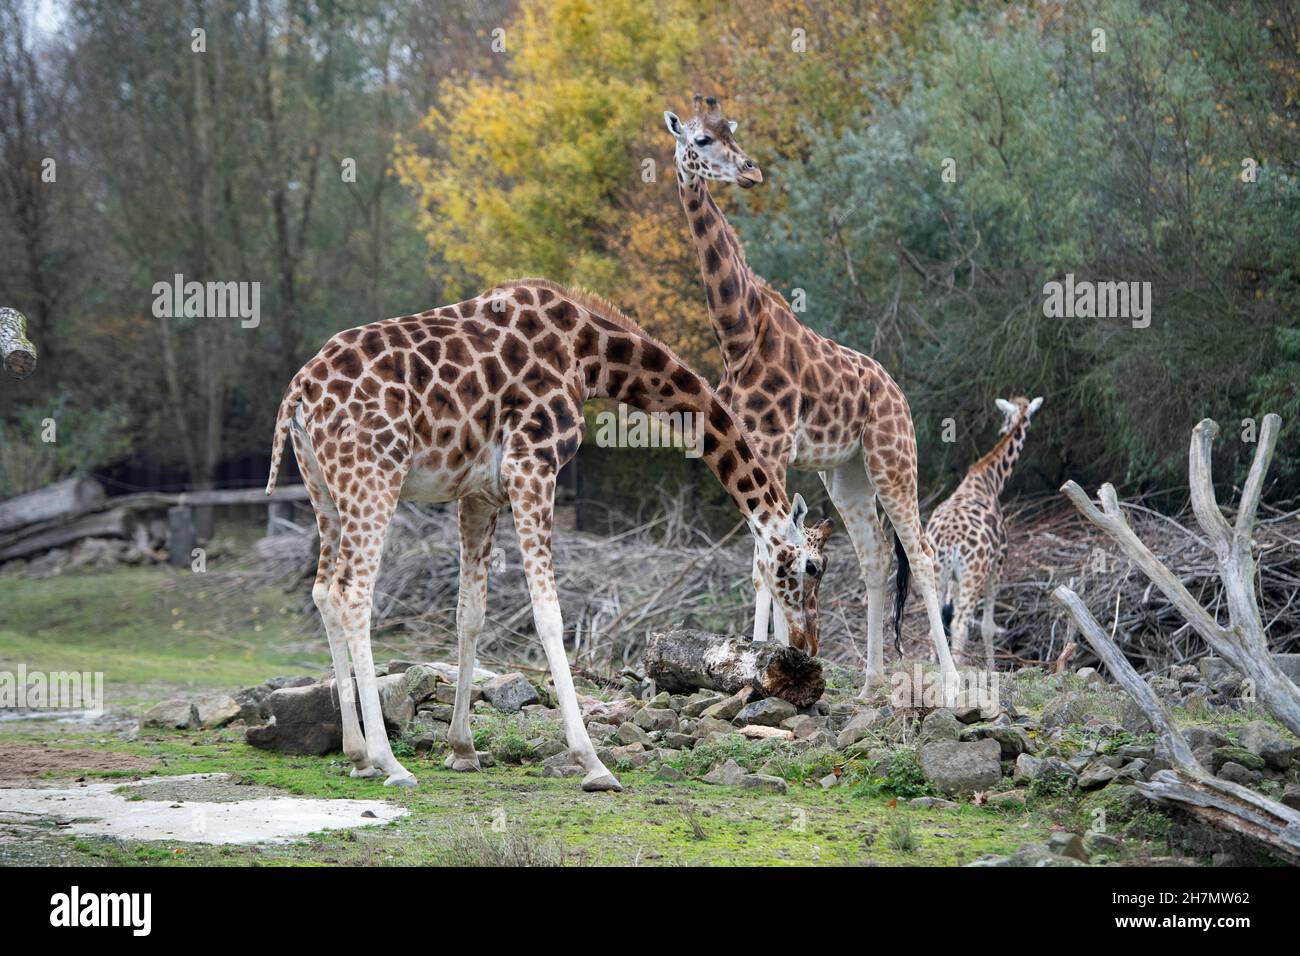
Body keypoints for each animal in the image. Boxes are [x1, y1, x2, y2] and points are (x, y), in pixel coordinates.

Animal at [264, 278, 831, 792]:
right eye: (811, 567)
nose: (807, 648)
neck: (590, 354)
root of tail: (298, 393)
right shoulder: (533, 466)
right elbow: (549, 615)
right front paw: (593, 763)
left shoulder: (480, 494)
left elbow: (470, 613)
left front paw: (462, 749)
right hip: (374, 476)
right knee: (353, 594)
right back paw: (389, 763)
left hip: (323, 490)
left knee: (323, 590)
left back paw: (358, 754)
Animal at [664, 95, 958, 700]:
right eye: (700, 140)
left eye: (730, 133)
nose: (750, 170)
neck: (738, 334)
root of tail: (898, 393)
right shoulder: (751, 447)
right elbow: (763, 559)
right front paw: (757, 664)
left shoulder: (774, 447)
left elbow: (769, 559)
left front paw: (768, 663)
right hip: (846, 472)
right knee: (876, 557)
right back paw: (871, 684)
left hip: (893, 459)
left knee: (921, 553)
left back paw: (954, 687)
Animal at [926, 395, 1043, 671]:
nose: (1001, 430)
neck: (990, 479)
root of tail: (949, 541)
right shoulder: (997, 566)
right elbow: (988, 626)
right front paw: (991, 667)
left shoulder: (954, 580)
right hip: (974, 572)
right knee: (960, 623)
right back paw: (958, 668)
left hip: (938, 570)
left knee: (936, 623)